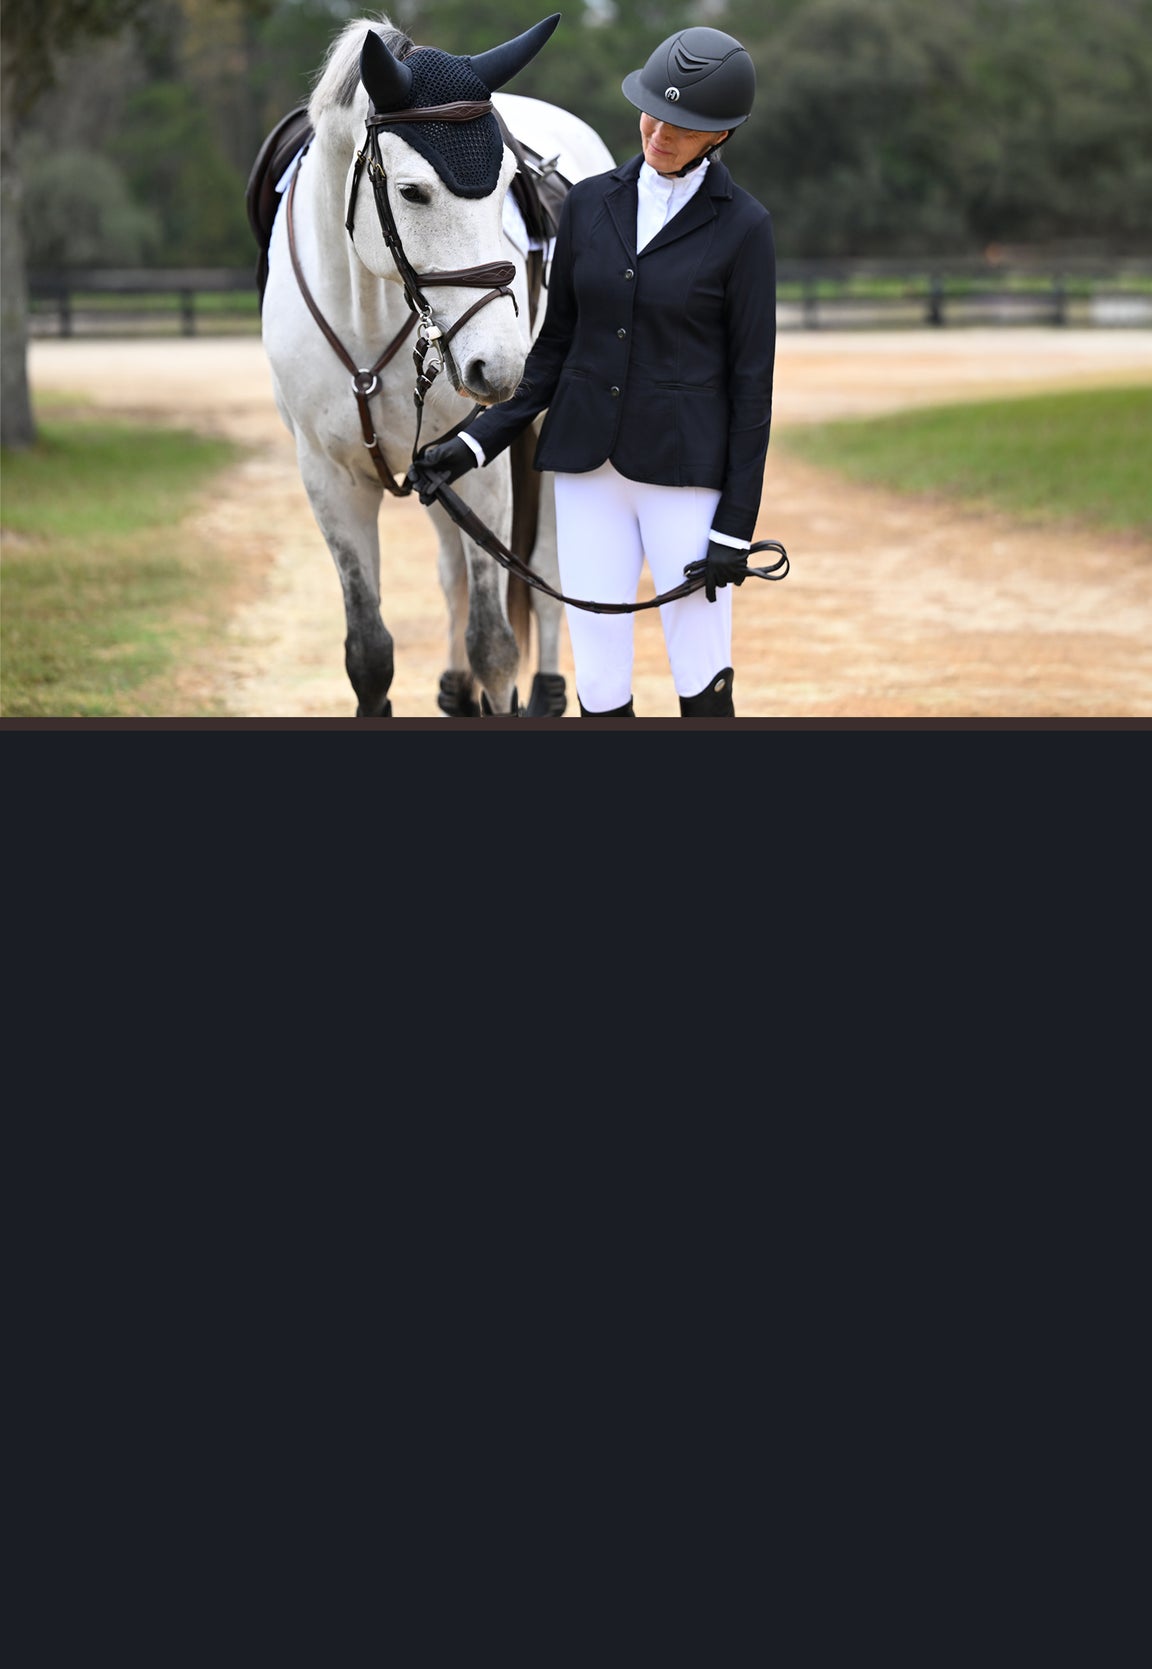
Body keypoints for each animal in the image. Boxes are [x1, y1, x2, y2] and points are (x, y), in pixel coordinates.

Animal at [252, 12, 615, 718]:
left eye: (505, 188)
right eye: (412, 192)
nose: (501, 368)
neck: (365, 318)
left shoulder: (484, 466)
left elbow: (495, 643)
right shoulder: (332, 480)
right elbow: (369, 655)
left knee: (548, 567)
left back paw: (550, 689)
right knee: (453, 572)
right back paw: (454, 687)